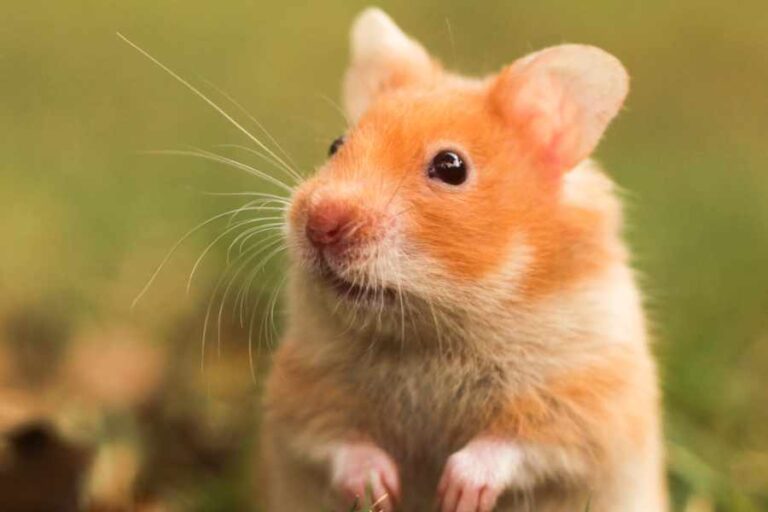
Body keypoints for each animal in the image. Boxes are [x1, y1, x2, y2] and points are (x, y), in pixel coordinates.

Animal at [262, 8, 666, 512]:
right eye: (335, 146)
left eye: (451, 166)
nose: (320, 223)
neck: (430, 332)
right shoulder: (301, 387)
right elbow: (337, 439)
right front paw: (382, 489)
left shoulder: (589, 396)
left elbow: (516, 442)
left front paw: (456, 495)